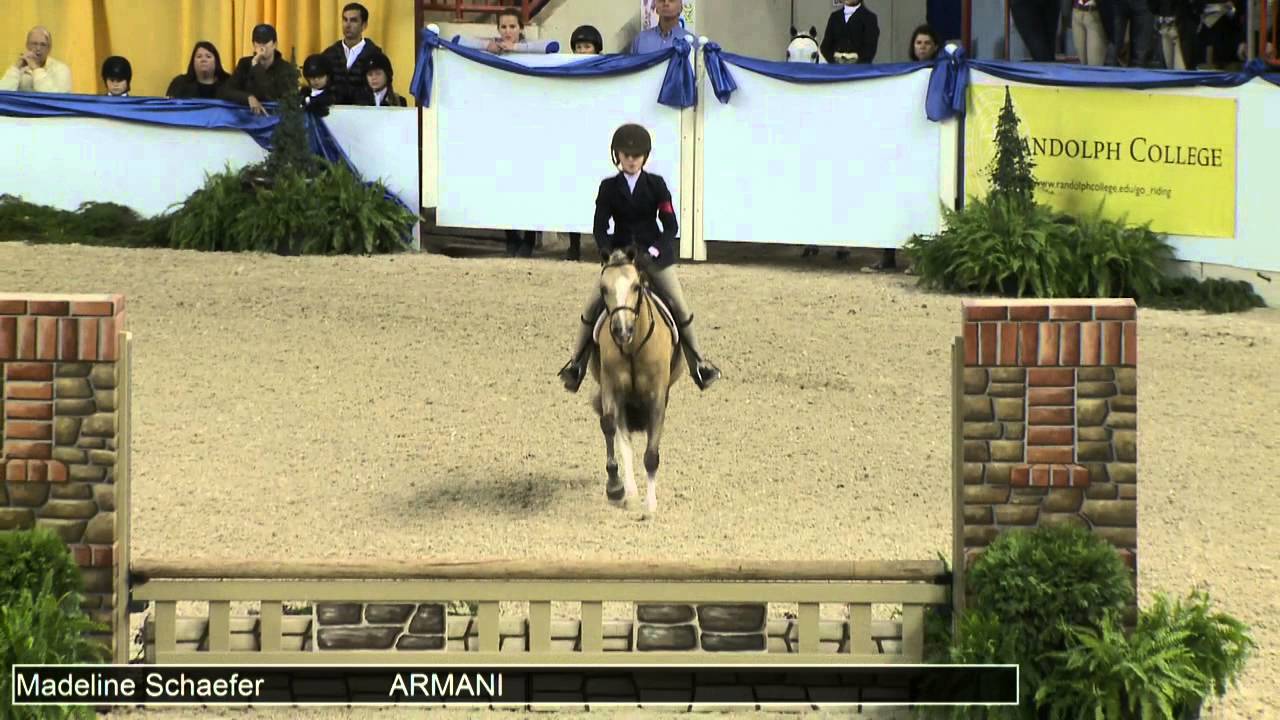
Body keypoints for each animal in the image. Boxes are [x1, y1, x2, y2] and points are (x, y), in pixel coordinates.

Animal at [588, 247, 683, 518]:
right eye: (603, 288)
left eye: (636, 287)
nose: (621, 330)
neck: (633, 347)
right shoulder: (612, 389)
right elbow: (611, 428)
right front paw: (615, 487)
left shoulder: (657, 398)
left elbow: (651, 455)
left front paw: (650, 507)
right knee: (624, 440)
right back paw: (628, 492)